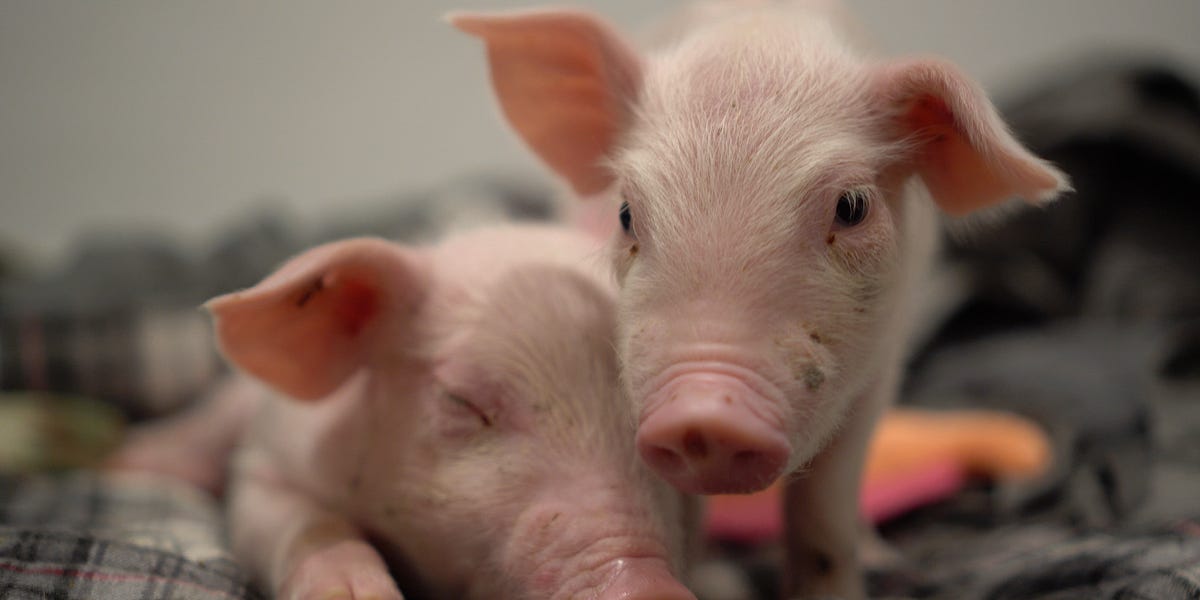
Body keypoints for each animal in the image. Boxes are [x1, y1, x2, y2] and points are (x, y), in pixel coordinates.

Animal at [110, 225, 699, 600]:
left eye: (657, 445)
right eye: (461, 400)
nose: (652, 589)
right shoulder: (266, 464)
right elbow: (300, 521)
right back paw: (133, 462)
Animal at [452, 2, 1070, 597]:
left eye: (852, 207)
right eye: (626, 213)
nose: (703, 413)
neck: (761, 33)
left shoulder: (880, 370)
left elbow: (825, 508)